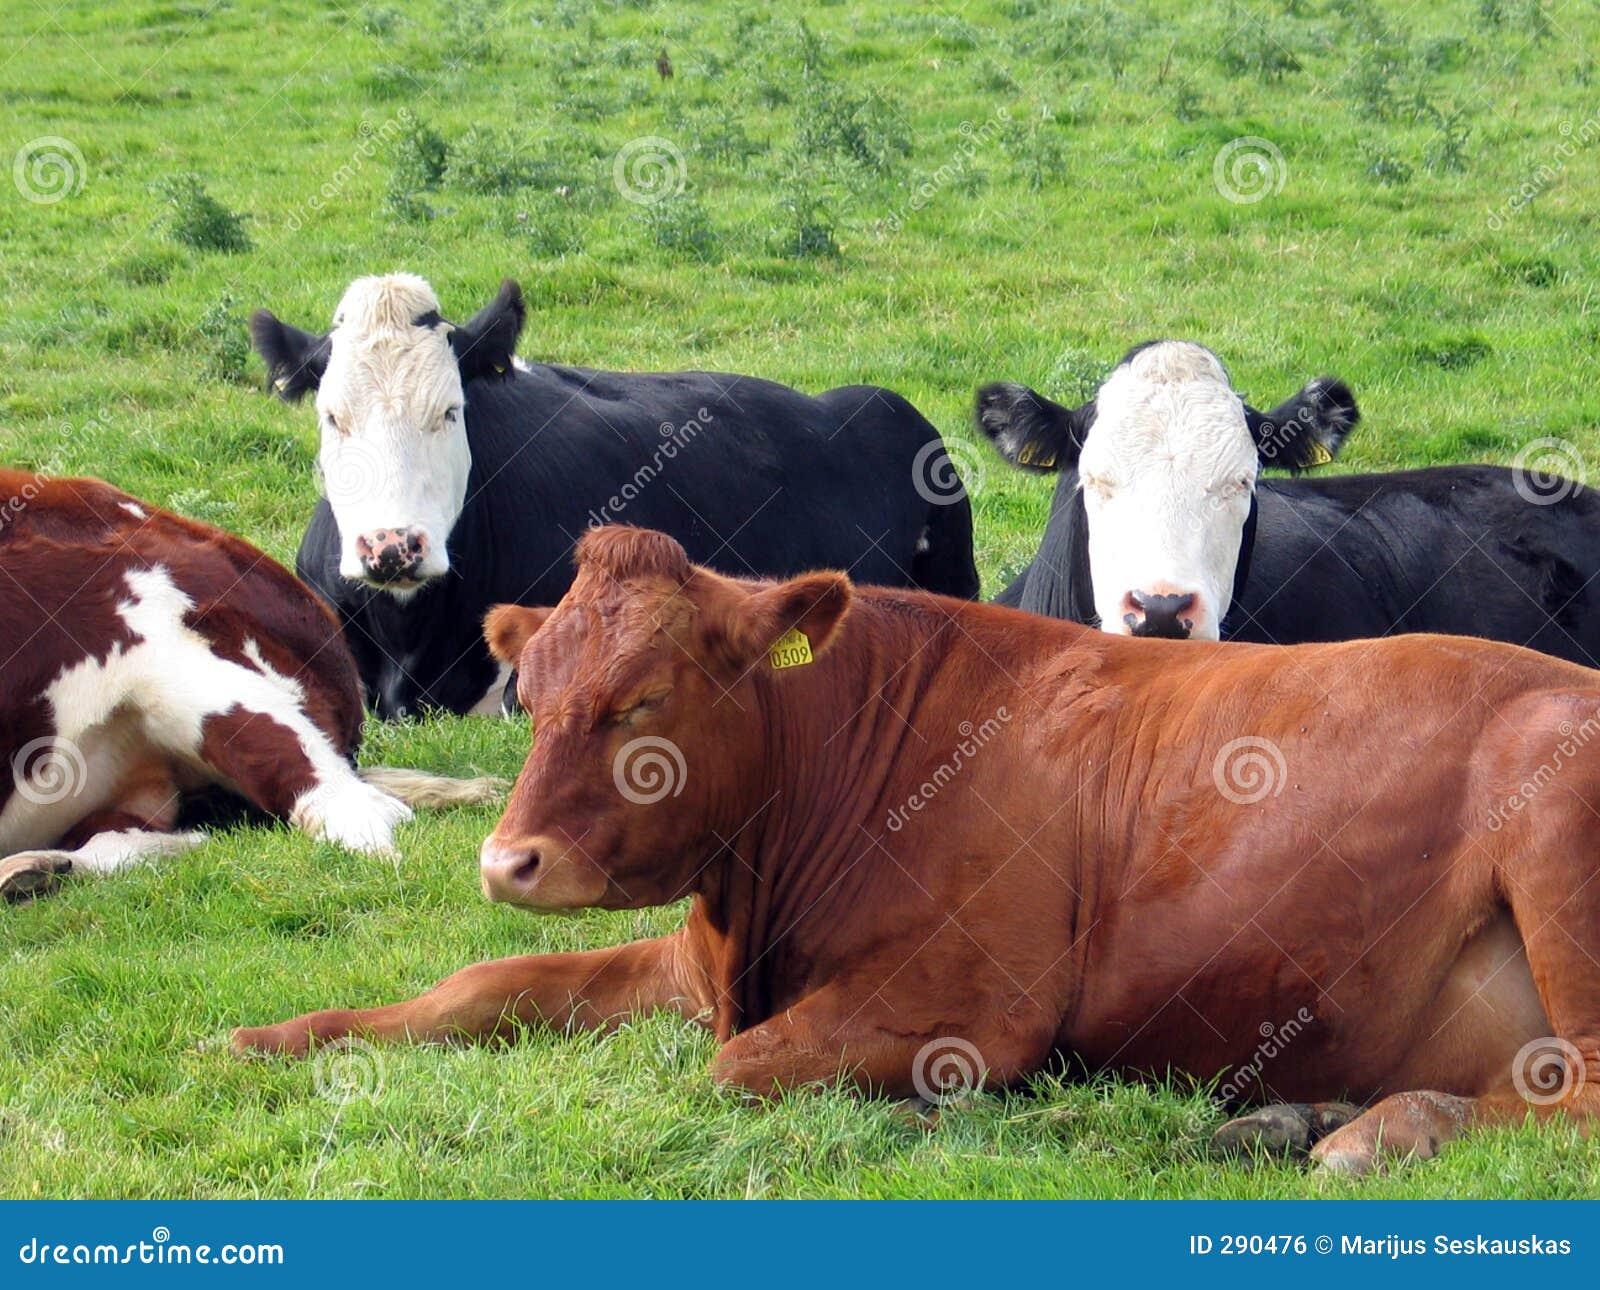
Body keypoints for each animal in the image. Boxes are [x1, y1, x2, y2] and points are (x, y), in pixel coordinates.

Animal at [235, 525, 1600, 1176]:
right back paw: (1292, 1115)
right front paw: (273, 1037)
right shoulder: (693, 963)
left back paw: (1377, 1129)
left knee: (1570, 1096)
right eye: (532, 694)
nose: (506, 863)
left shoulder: (969, 1010)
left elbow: (734, 1072)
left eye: (644, 701)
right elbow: (482, 986)